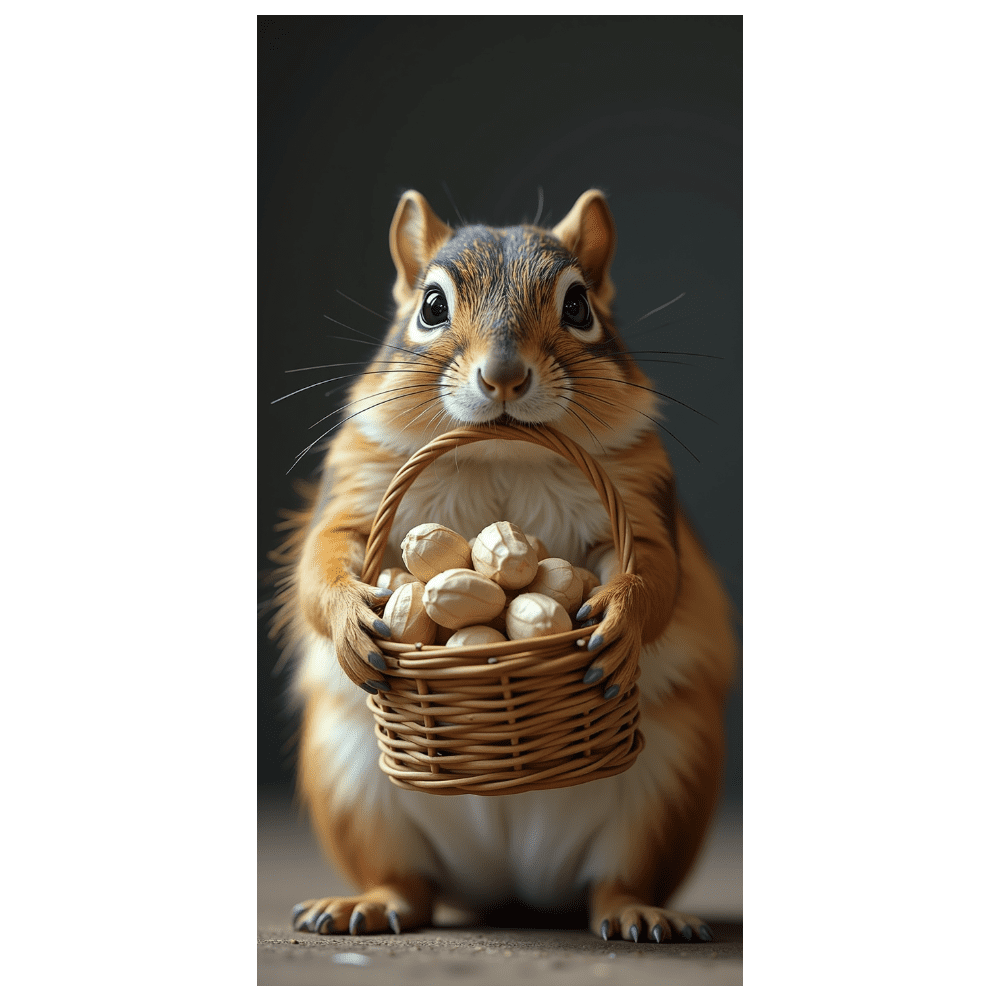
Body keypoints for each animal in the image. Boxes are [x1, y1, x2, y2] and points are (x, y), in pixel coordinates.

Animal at [271, 188, 736, 943]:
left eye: (579, 307)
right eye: (431, 305)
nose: (505, 376)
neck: (500, 453)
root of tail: (509, 888)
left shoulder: (641, 499)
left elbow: (658, 574)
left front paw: (620, 616)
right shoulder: (355, 489)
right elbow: (320, 565)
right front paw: (350, 624)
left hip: (669, 791)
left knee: (613, 883)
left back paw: (639, 913)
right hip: (351, 788)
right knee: (409, 887)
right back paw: (364, 904)